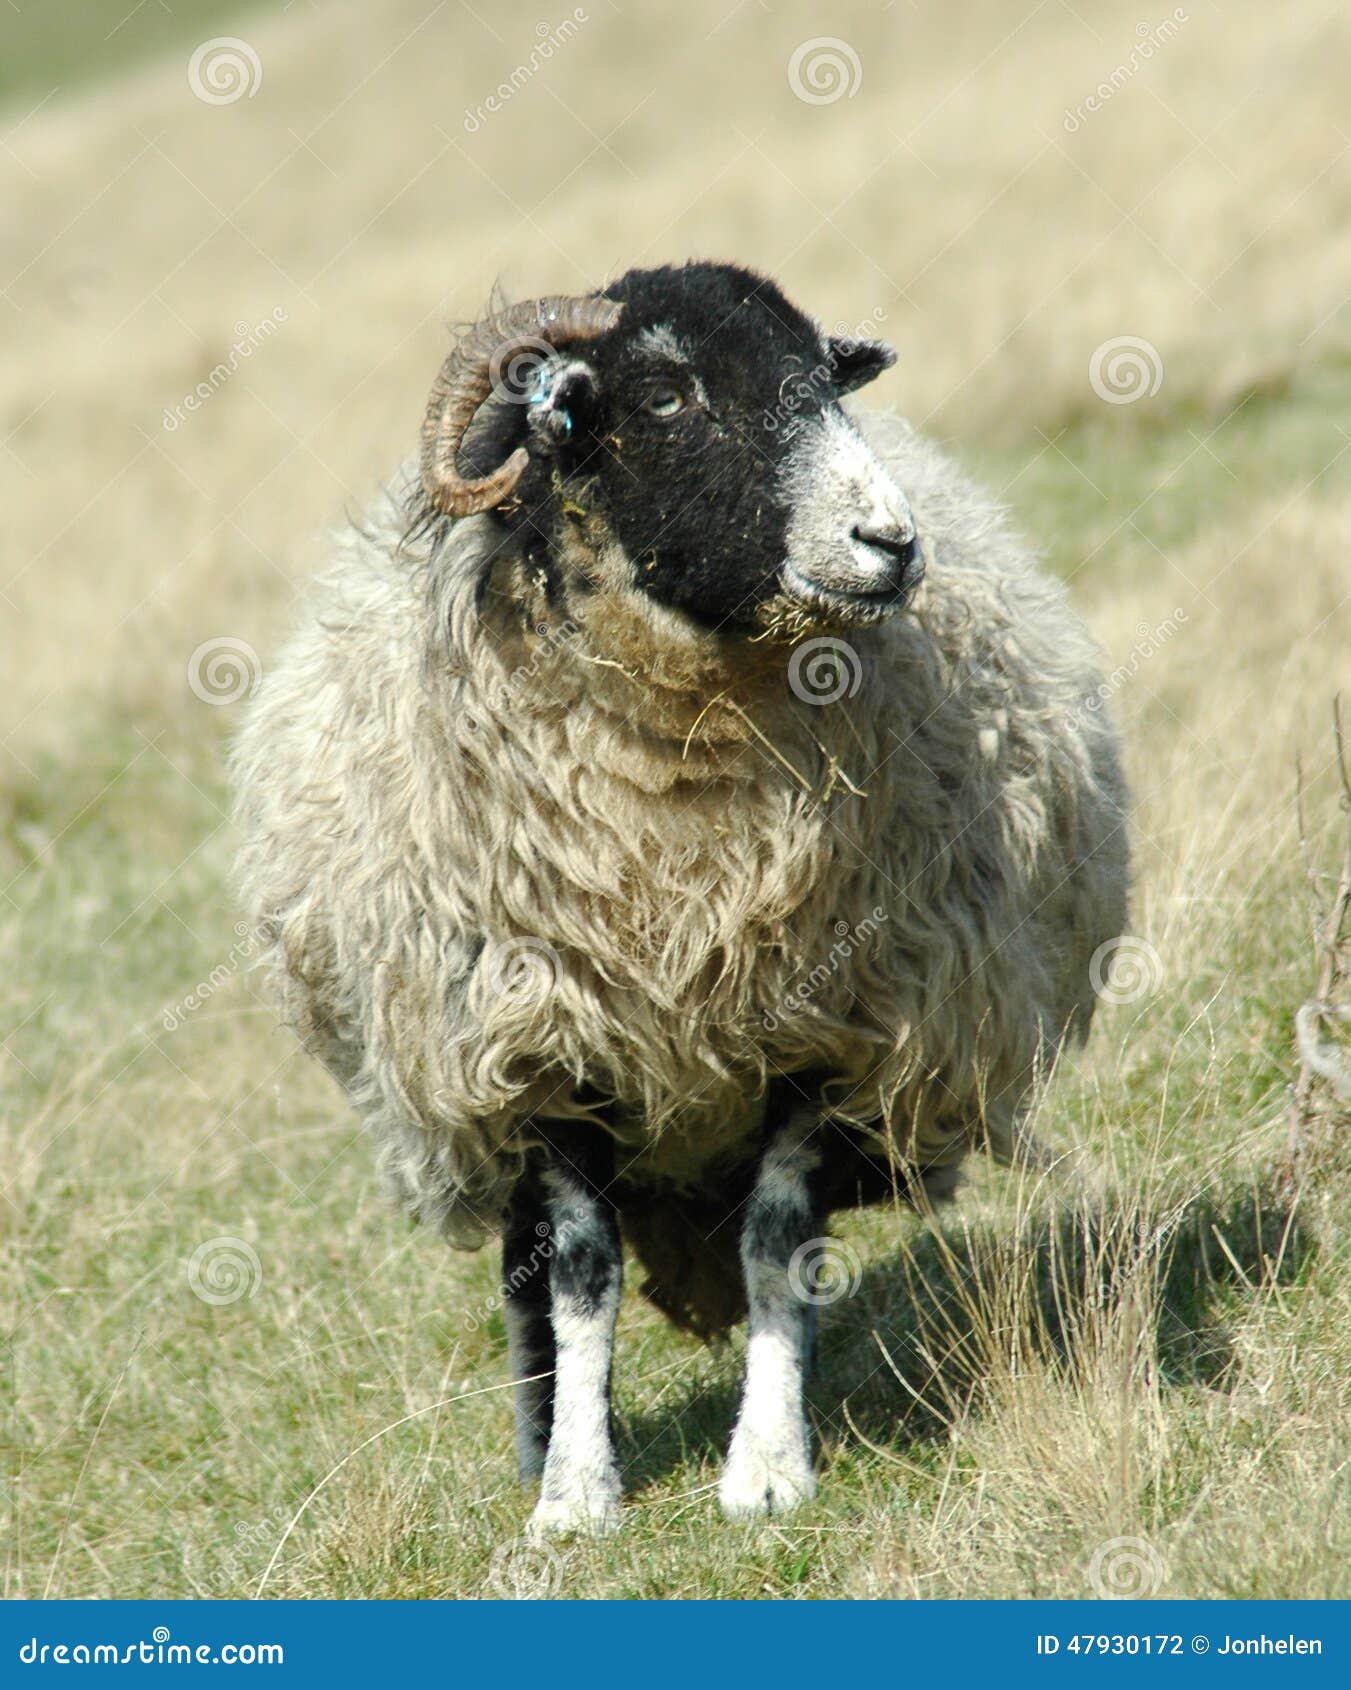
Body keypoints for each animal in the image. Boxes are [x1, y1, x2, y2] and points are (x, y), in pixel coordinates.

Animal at [231, 260, 1129, 1534]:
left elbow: (774, 1242)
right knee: (526, 1274)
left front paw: (767, 1464)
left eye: (822, 378)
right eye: (665, 395)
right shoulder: (532, 1054)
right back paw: (541, 1440)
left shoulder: (833, 1028)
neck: (682, 813)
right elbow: (577, 1270)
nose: (890, 543)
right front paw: (573, 1495)